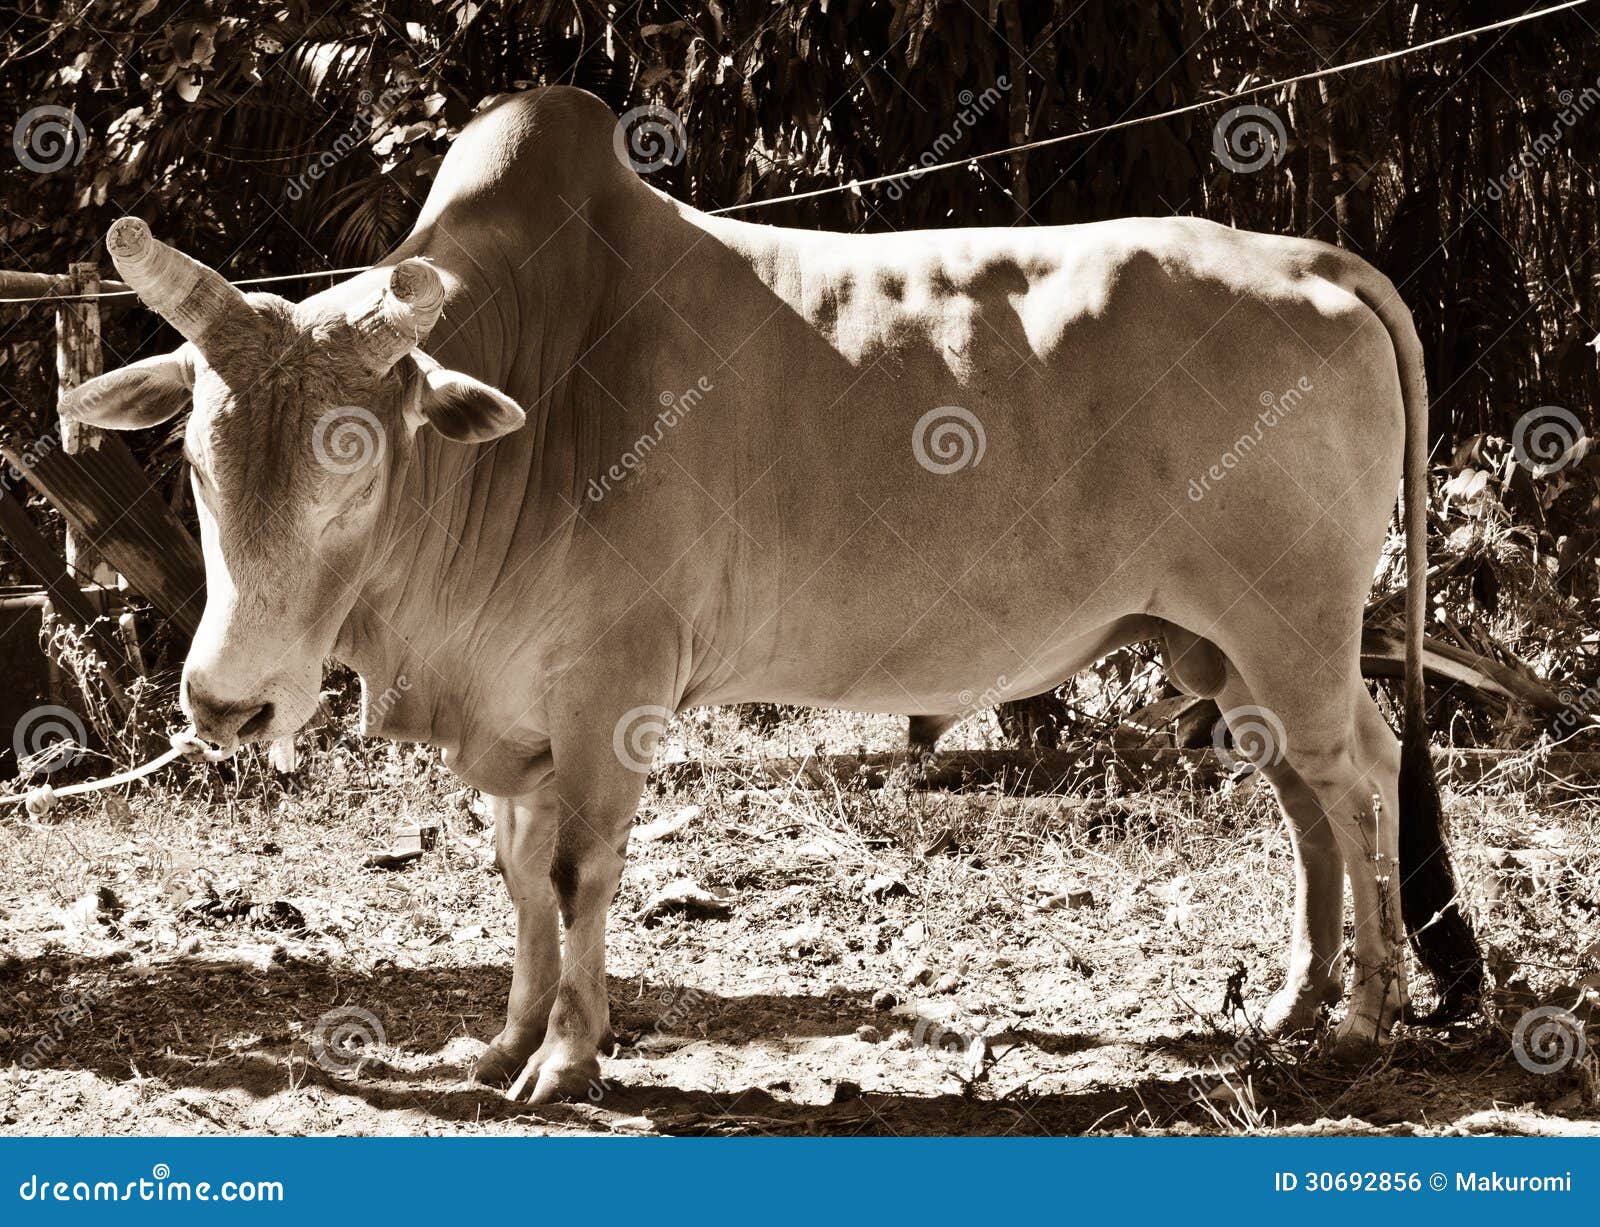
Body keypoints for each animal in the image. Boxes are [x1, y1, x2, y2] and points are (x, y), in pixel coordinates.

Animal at [61, 87, 1479, 1103]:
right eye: (196, 460)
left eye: (353, 468)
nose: (227, 706)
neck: (536, 399)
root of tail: (1311, 257)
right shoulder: (518, 715)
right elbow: (517, 874)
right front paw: (503, 1041)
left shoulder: (613, 695)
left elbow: (575, 870)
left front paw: (567, 1059)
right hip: (1213, 644)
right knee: (1299, 791)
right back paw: (1297, 998)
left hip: (1292, 626)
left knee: (1356, 771)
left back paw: (1365, 1013)